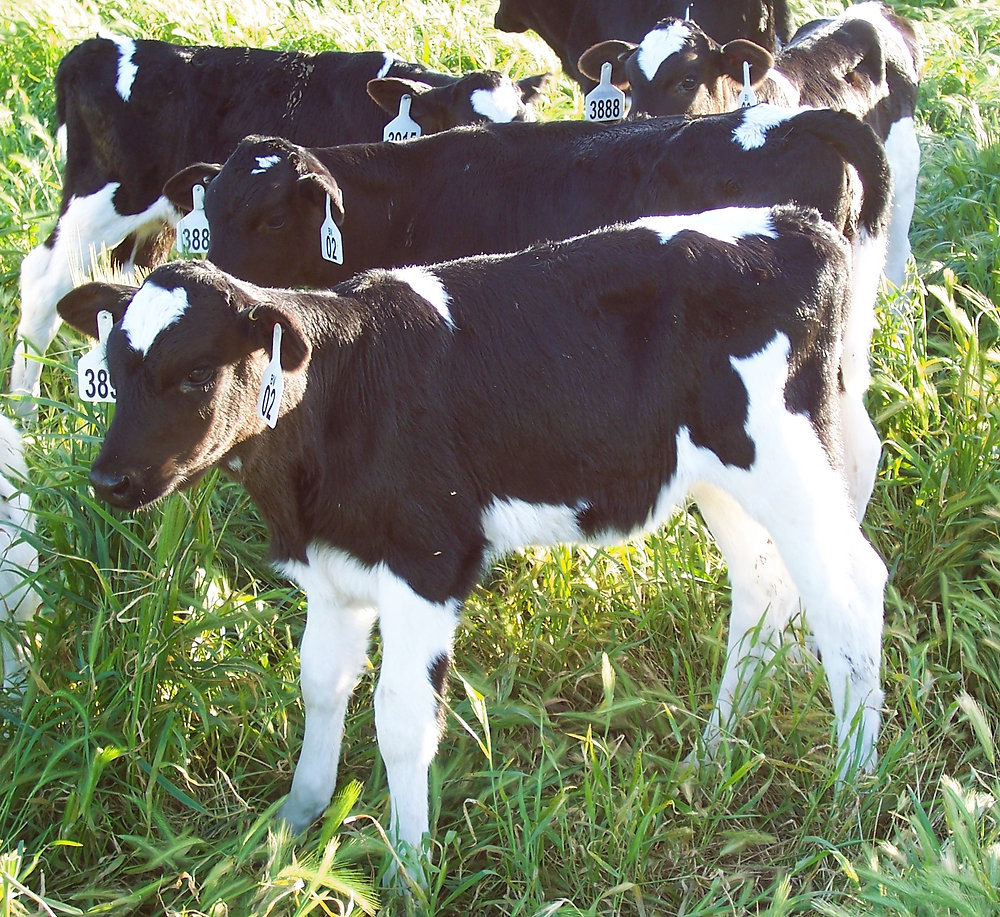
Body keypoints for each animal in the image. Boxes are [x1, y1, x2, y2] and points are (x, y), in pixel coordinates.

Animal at [11, 33, 549, 411]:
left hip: (152, 222)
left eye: (526, 126)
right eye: (455, 122)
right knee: (42, 285)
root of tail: (97, 47)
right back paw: (23, 418)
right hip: (99, 205)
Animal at [58, 203, 886, 861]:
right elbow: (320, 684)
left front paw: (407, 865)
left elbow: (401, 718)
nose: (108, 480)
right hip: (721, 477)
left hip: (791, 457)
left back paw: (852, 785)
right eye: (115, 367)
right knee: (766, 585)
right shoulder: (332, 571)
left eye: (198, 373)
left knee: (848, 592)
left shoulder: (429, 561)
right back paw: (712, 756)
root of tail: (798, 221)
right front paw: (294, 821)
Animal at [578, 1, 922, 286]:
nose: (640, 124)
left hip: (902, 185)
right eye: (631, 84)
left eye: (688, 80)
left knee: (896, 256)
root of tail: (869, 11)